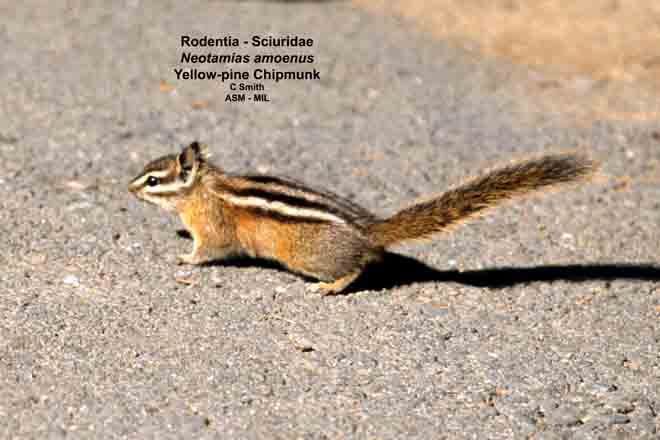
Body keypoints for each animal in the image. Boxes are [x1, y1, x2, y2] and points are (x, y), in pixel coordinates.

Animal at [129, 142, 597, 294]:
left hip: (306, 256)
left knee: (355, 268)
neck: (200, 190)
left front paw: (185, 258)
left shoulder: (213, 227)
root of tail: (370, 230)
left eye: (152, 180)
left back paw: (331, 287)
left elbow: (210, 249)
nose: (127, 188)